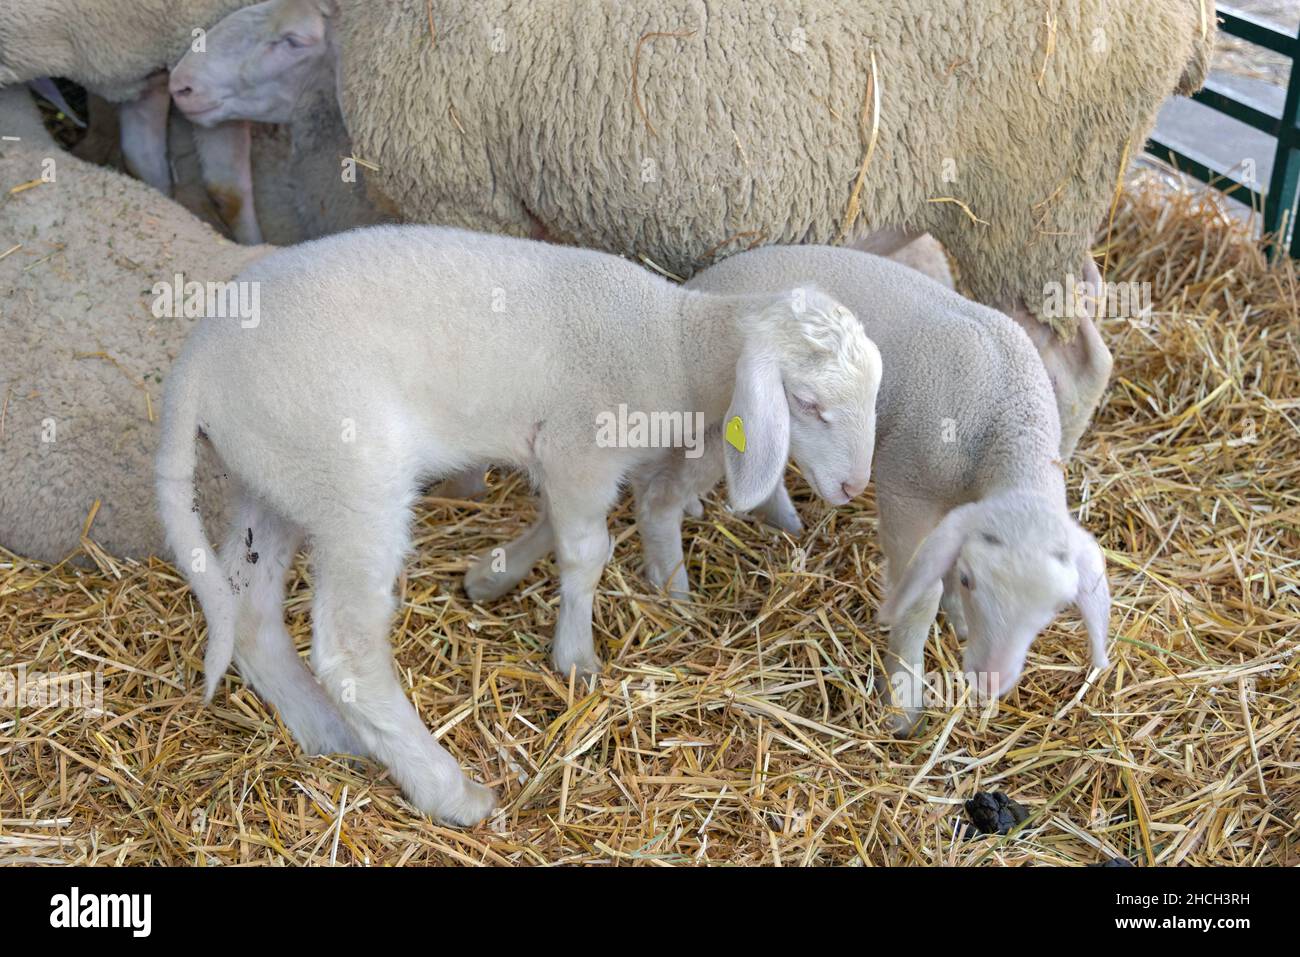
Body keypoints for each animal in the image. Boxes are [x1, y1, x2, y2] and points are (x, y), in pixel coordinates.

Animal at [155, 224, 882, 822]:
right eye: (808, 404)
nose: (854, 487)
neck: (671, 342)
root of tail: (196, 362)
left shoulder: (559, 456)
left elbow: (556, 522)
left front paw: (492, 577)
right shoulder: (580, 447)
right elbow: (587, 549)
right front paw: (575, 658)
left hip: (274, 477)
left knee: (250, 610)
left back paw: (328, 735)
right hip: (349, 477)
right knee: (347, 648)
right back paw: (450, 792)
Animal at [169, 0, 1214, 454]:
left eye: (291, 37)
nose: (176, 83)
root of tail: (1195, 19)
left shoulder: (466, 198)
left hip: (1028, 197)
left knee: (1073, 359)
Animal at [682, 245, 1111, 734]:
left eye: (1057, 608)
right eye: (973, 580)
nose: (990, 679)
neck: (1003, 417)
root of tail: (707, 278)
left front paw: (956, 618)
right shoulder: (907, 490)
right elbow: (919, 598)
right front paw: (903, 701)